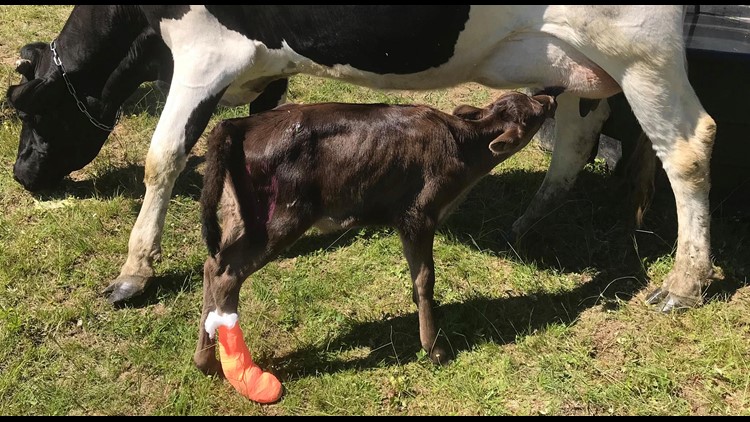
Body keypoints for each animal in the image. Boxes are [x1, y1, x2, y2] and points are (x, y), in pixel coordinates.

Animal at [6, 6, 716, 313]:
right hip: (580, 66)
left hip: (642, 50)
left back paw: (684, 283)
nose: (21, 175)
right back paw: (522, 227)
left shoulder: (207, 49)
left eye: (27, 109)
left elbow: (165, 156)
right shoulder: (262, 68)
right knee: (574, 144)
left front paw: (133, 272)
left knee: (690, 145)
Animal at [196, 91, 557, 402]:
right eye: (532, 114)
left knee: (212, 264)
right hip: (282, 215)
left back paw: (207, 362)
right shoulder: (418, 214)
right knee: (228, 275)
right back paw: (240, 372)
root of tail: (239, 125)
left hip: (239, 213)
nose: (549, 98)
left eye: (525, 98)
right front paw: (434, 348)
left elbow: (417, 279)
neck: (464, 152)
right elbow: (425, 278)